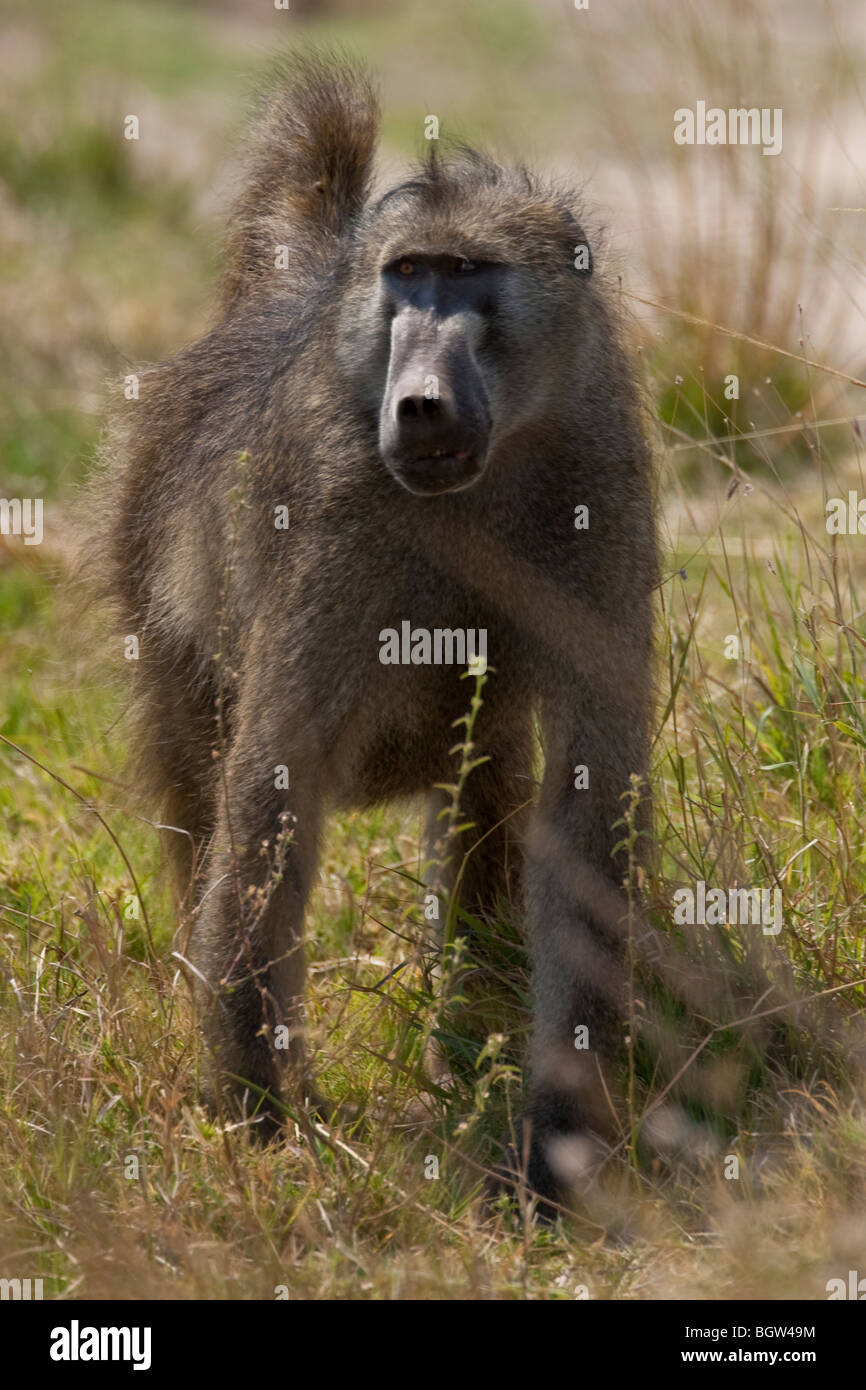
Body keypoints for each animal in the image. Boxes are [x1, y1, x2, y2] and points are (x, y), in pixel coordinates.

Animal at [91, 51, 657, 1208]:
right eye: (406, 277)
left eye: (466, 274)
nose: (421, 400)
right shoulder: (330, 526)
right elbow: (274, 792)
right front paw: (262, 1128)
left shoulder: (602, 488)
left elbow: (586, 808)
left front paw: (557, 1140)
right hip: (149, 567)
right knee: (204, 800)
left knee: (485, 782)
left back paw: (466, 1048)